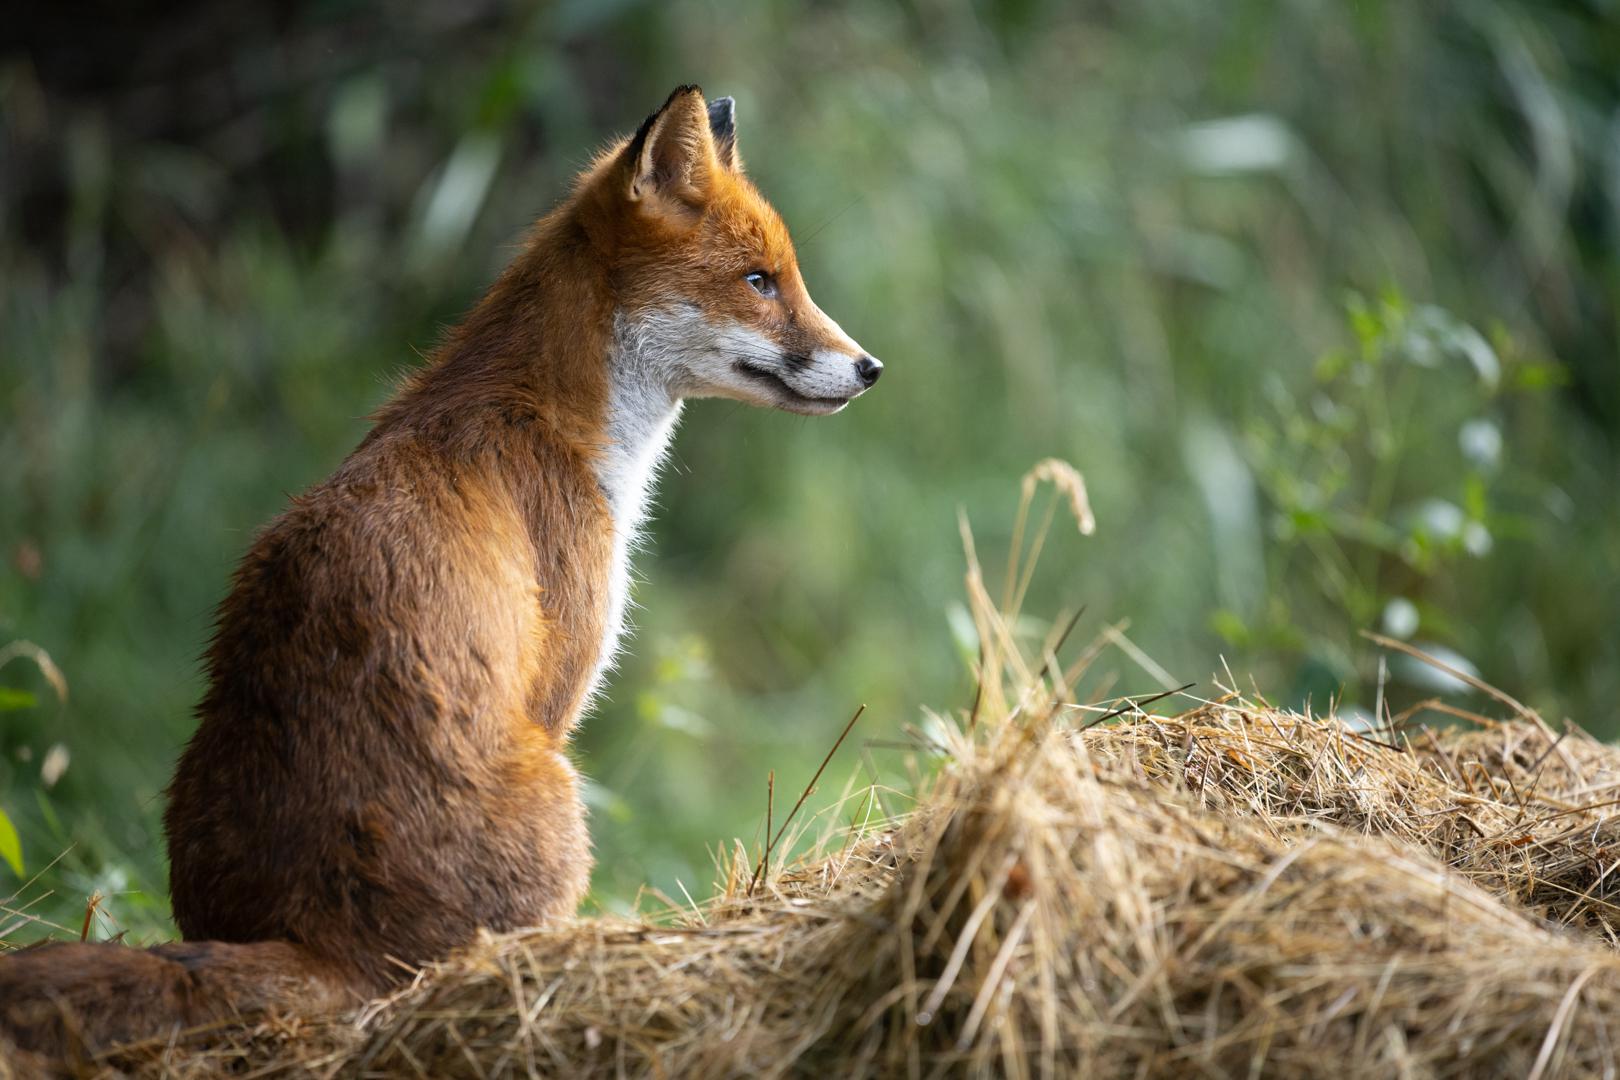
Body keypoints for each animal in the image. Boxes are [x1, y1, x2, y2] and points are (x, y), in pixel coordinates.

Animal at [0, 85, 880, 1066]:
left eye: (787, 277)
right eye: (760, 282)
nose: (870, 368)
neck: (554, 424)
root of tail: (310, 939)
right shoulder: (557, 680)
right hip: (556, 788)